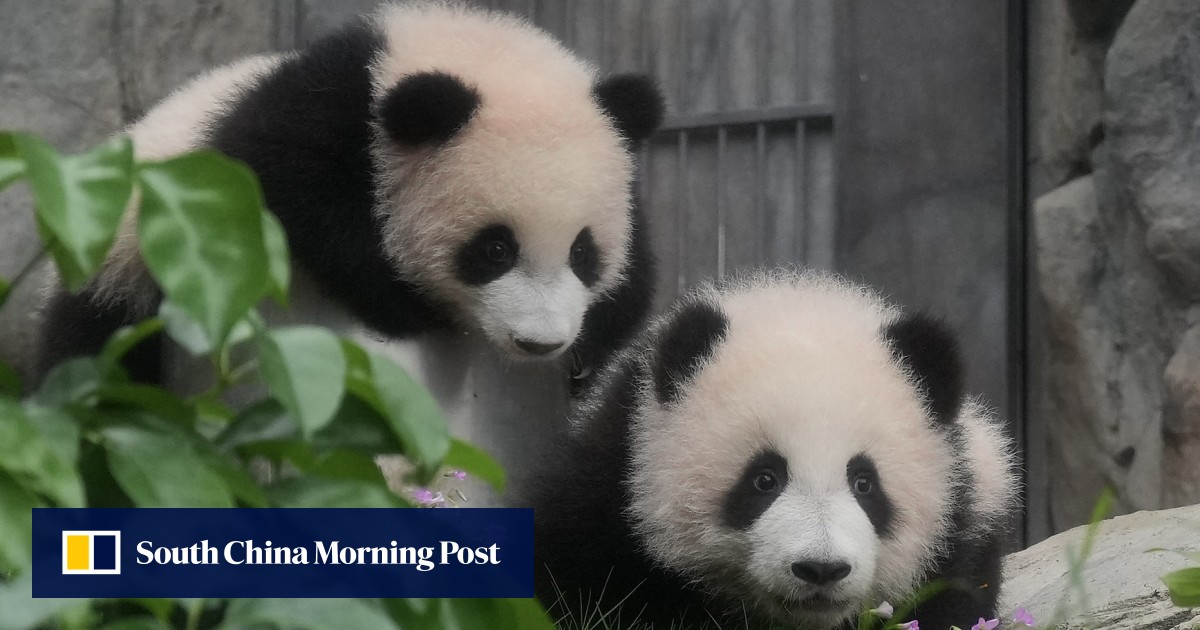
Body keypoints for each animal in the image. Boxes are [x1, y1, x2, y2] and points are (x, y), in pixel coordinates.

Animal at [35, 1, 663, 392]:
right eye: (494, 250)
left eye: (584, 253)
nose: (540, 342)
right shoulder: (321, 107)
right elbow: (278, 184)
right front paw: (404, 304)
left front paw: (593, 346)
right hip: (121, 270)